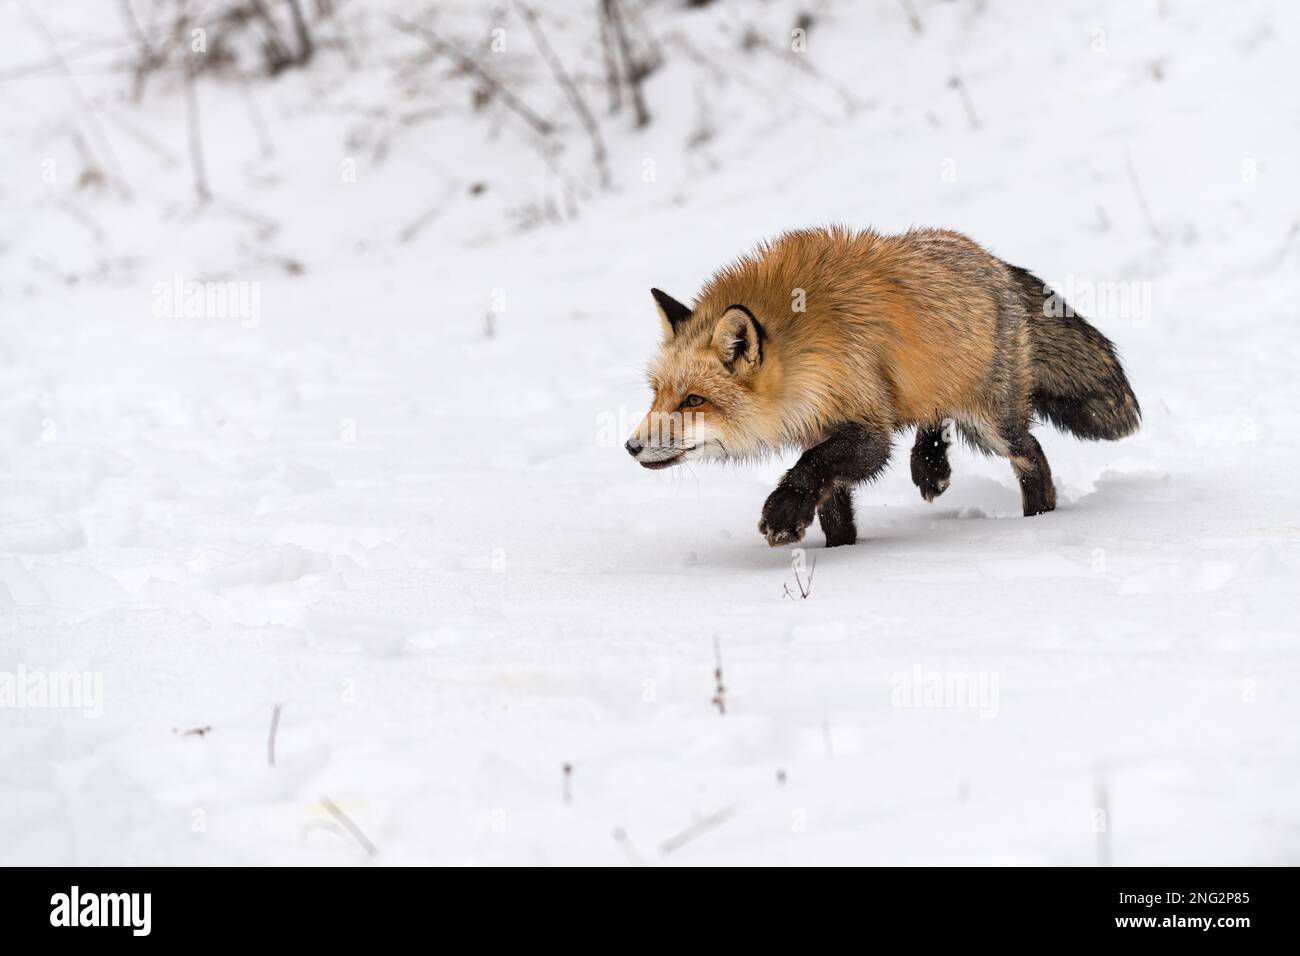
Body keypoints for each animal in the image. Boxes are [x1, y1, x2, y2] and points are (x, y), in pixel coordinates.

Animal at [625, 225, 1140, 547]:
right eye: (657, 395)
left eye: (694, 400)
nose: (631, 446)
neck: (807, 346)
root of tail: (990, 259)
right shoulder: (822, 420)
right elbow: (833, 507)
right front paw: (840, 552)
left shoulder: (864, 422)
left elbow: (812, 468)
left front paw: (783, 515)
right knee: (933, 415)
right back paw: (930, 466)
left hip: (990, 420)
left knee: (1030, 452)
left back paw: (1038, 517)